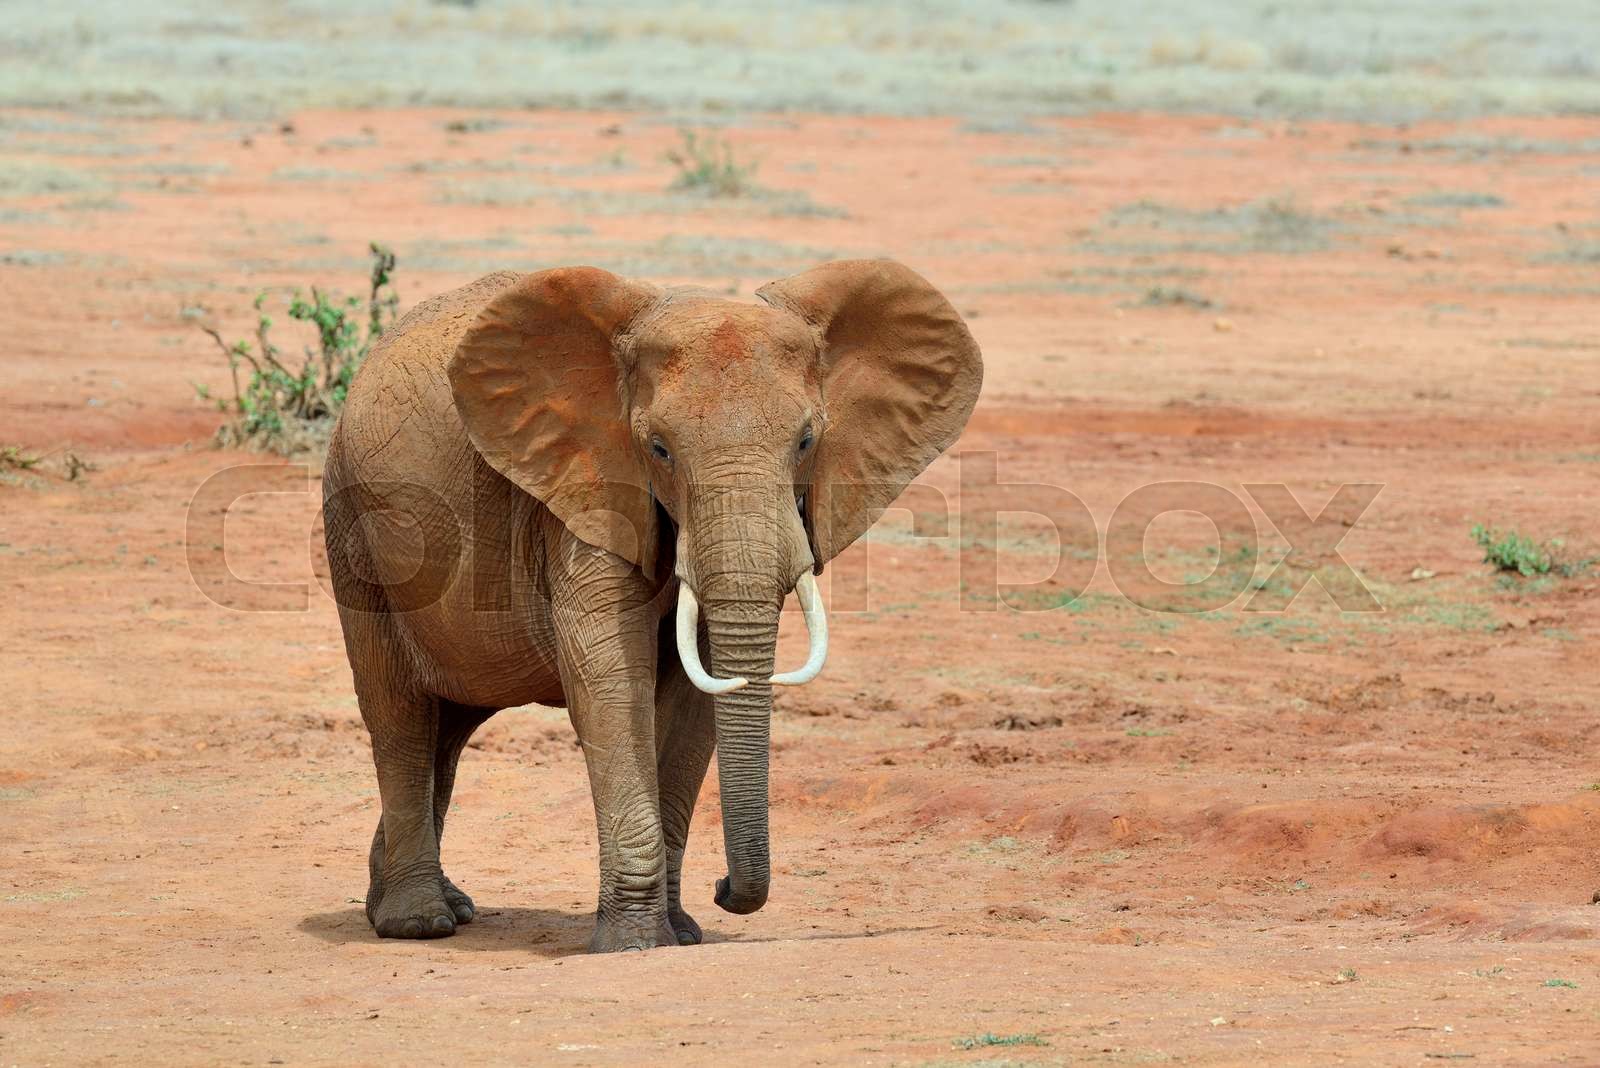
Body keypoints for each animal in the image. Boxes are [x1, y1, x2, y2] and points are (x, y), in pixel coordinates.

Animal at [320, 259, 982, 951]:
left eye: (806, 442)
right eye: (659, 449)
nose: (725, 889)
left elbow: (697, 696)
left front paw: (681, 933)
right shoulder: (589, 482)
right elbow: (612, 681)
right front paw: (633, 942)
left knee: (446, 732)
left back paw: (434, 905)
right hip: (354, 531)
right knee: (400, 718)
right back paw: (417, 923)